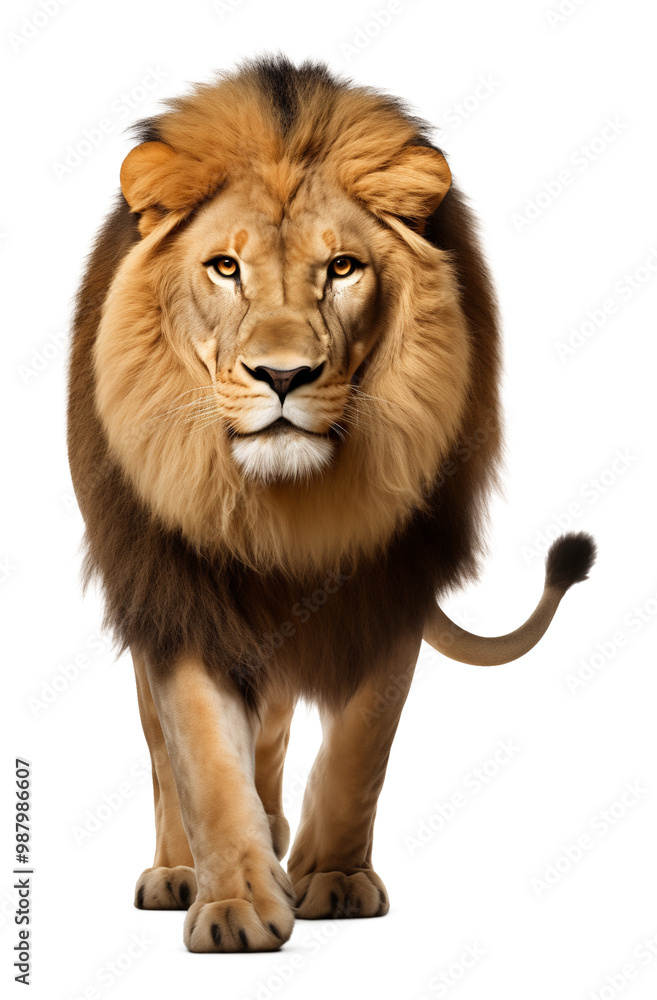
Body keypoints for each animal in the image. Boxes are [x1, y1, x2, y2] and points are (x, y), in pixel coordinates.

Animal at [67, 56, 595, 953]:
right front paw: (236, 905)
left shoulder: (390, 585)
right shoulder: (179, 593)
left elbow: (359, 750)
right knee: (164, 750)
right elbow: (200, 756)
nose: (283, 377)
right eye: (225, 267)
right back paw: (179, 869)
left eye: (342, 268)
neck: (285, 508)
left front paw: (336, 880)